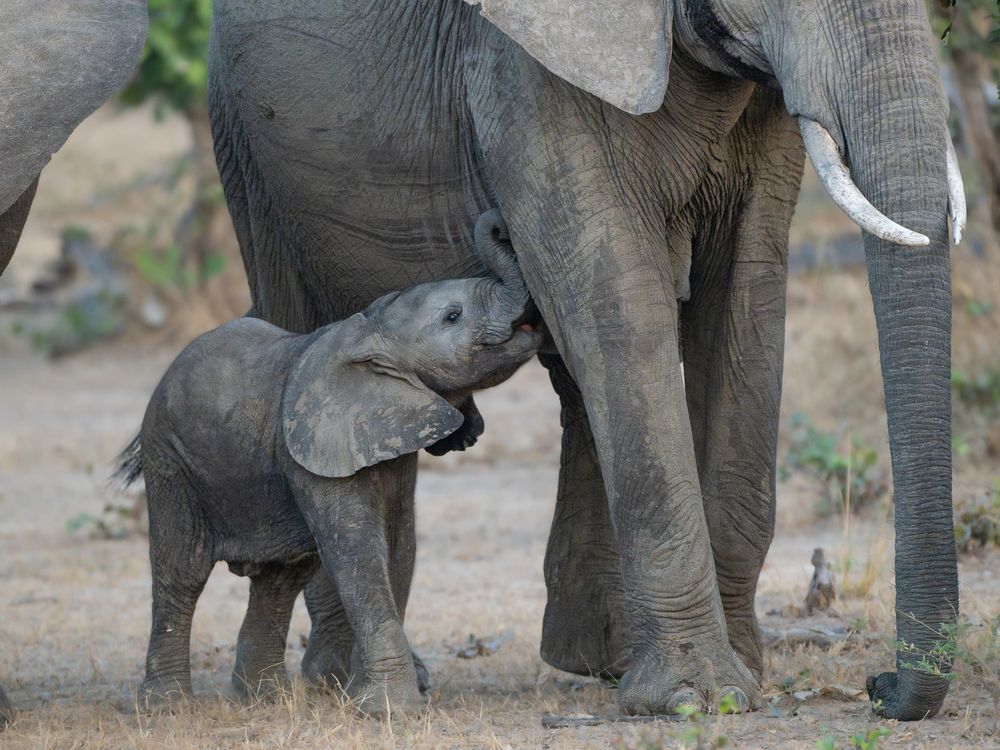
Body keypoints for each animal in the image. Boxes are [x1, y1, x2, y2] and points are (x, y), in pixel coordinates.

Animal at [118, 208, 541, 714]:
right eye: (452, 316)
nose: (496, 221)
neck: (365, 331)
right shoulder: (314, 449)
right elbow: (358, 551)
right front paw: (389, 710)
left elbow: (399, 547)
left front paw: (363, 696)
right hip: (170, 461)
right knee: (181, 573)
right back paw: (168, 706)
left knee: (281, 575)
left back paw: (264, 700)